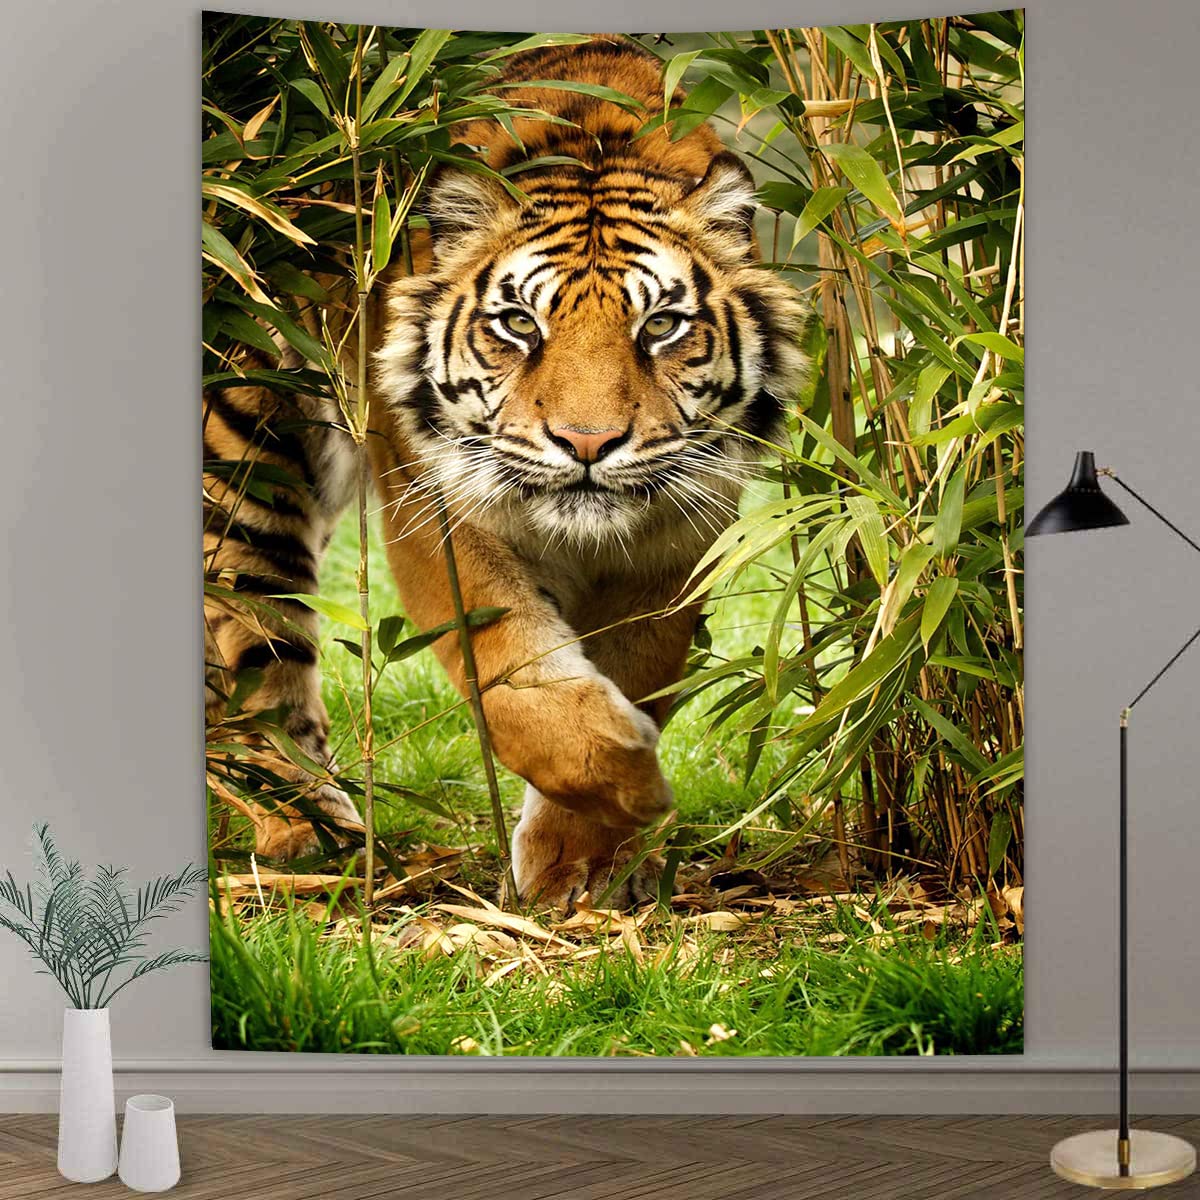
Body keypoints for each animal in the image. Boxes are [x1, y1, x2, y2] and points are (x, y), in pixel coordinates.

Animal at [203, 34, 807, 911]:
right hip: (250, 450)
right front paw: (630, 782)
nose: (588, 443)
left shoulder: (677, 536)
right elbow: (511, 670)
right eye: (520, 324)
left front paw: (580, 864)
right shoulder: (437, 510)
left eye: (661, 326)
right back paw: (307, 836)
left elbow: (635, 666)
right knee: (251, 651)